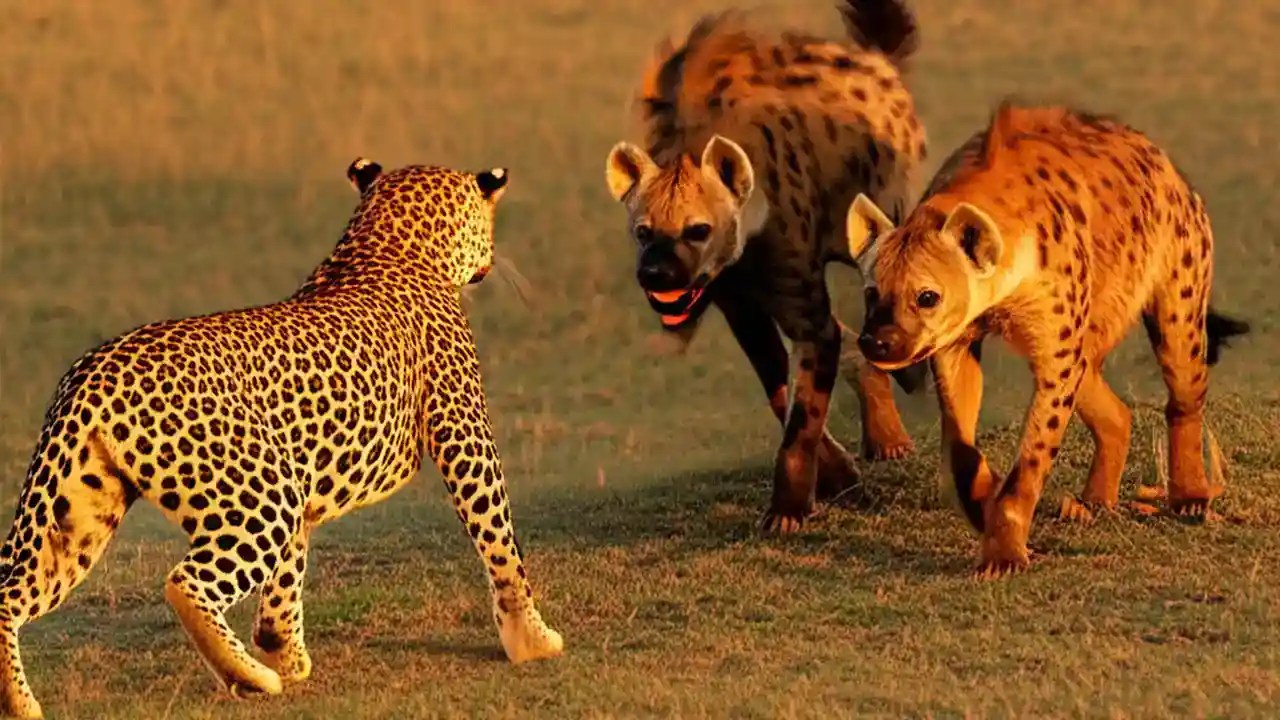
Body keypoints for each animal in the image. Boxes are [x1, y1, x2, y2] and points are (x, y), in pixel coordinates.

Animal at [0, 158, 563, 718]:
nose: (490, 263)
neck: (381, 244)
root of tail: (91, 374)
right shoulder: (462, 432)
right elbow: (499, 538)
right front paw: (532, 639)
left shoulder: (299, 478)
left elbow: (286, 578)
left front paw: (284, 652)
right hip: (257, 497)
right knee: (185, 583)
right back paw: (248, 677)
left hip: (79, 511)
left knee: (8, 595)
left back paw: (22, 705)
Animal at [603, 0, 930, 534]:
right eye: (643, 231)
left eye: (698, 230)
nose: (656, 275)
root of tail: (873, 60)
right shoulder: (740, 305)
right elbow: (780, 390)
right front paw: (836, 478)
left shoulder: (799, 302)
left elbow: (805, 408)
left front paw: (788, 510)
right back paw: (885, 435)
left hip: (885, 203)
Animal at [845, 101, 1250, 578]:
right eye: (871, 292)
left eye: (927, 296)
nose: (877, 342)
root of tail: (1170, 168)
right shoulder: (955, 344)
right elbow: (962, 448)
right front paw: (981, 505)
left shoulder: (1056, 347)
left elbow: (1032, 456)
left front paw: (1003, 554)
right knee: (1113, 406)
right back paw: (1093, 502)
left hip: (1178, 288)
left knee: (1184, 388)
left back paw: (1189, 498)